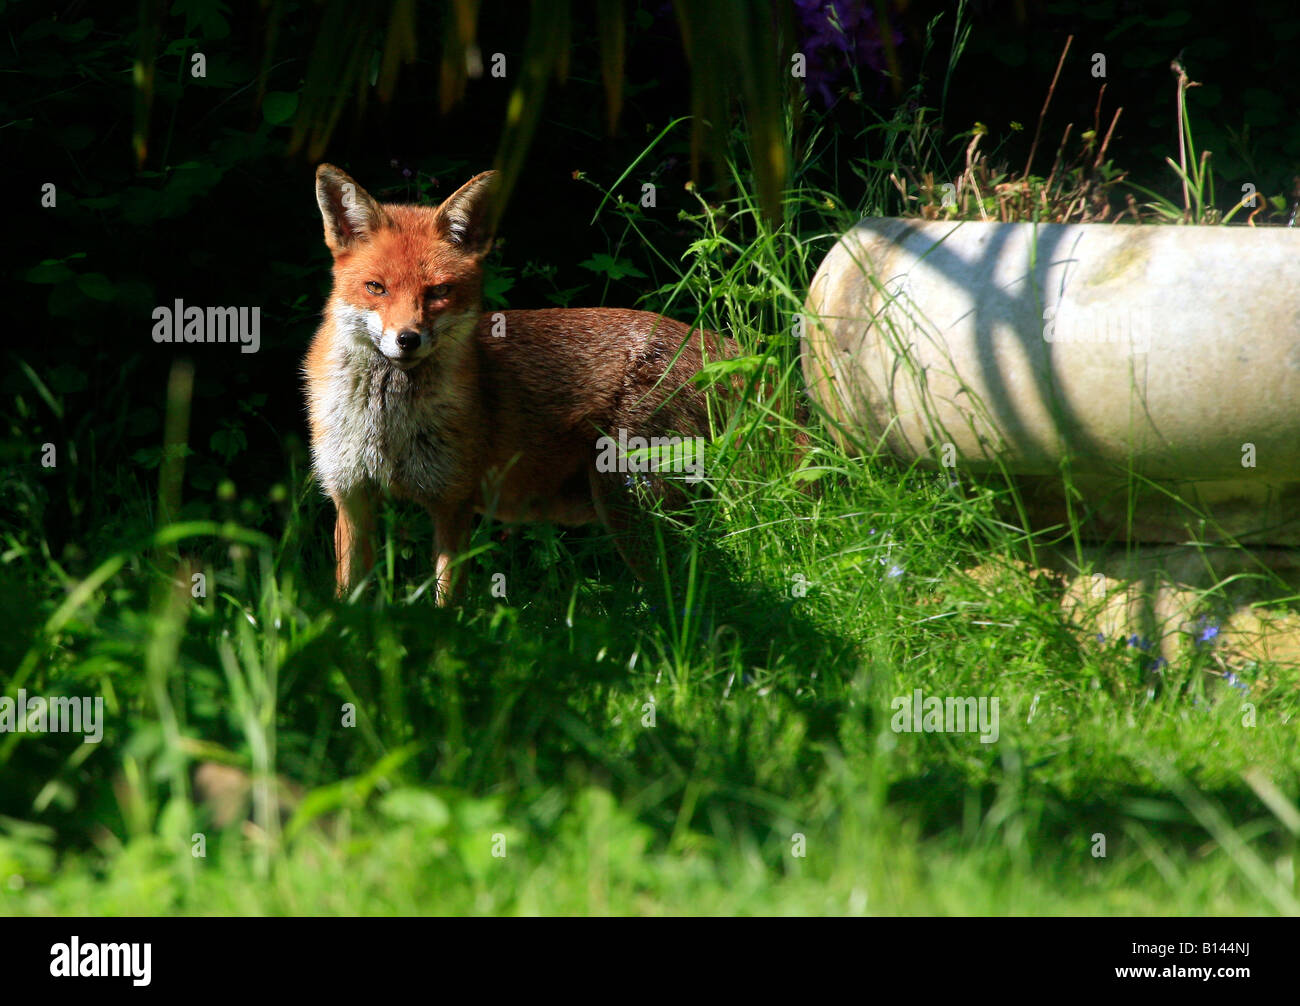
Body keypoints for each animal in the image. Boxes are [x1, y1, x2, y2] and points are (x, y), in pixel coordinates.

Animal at [303, 164, 740, 603]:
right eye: (376, 287)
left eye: (439, 291)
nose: (407, 338)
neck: (388, 424)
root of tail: (713, 345)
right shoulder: (351, 496)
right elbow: (347, 596)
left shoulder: (452, 501)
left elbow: (448, 601)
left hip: (634, 508)